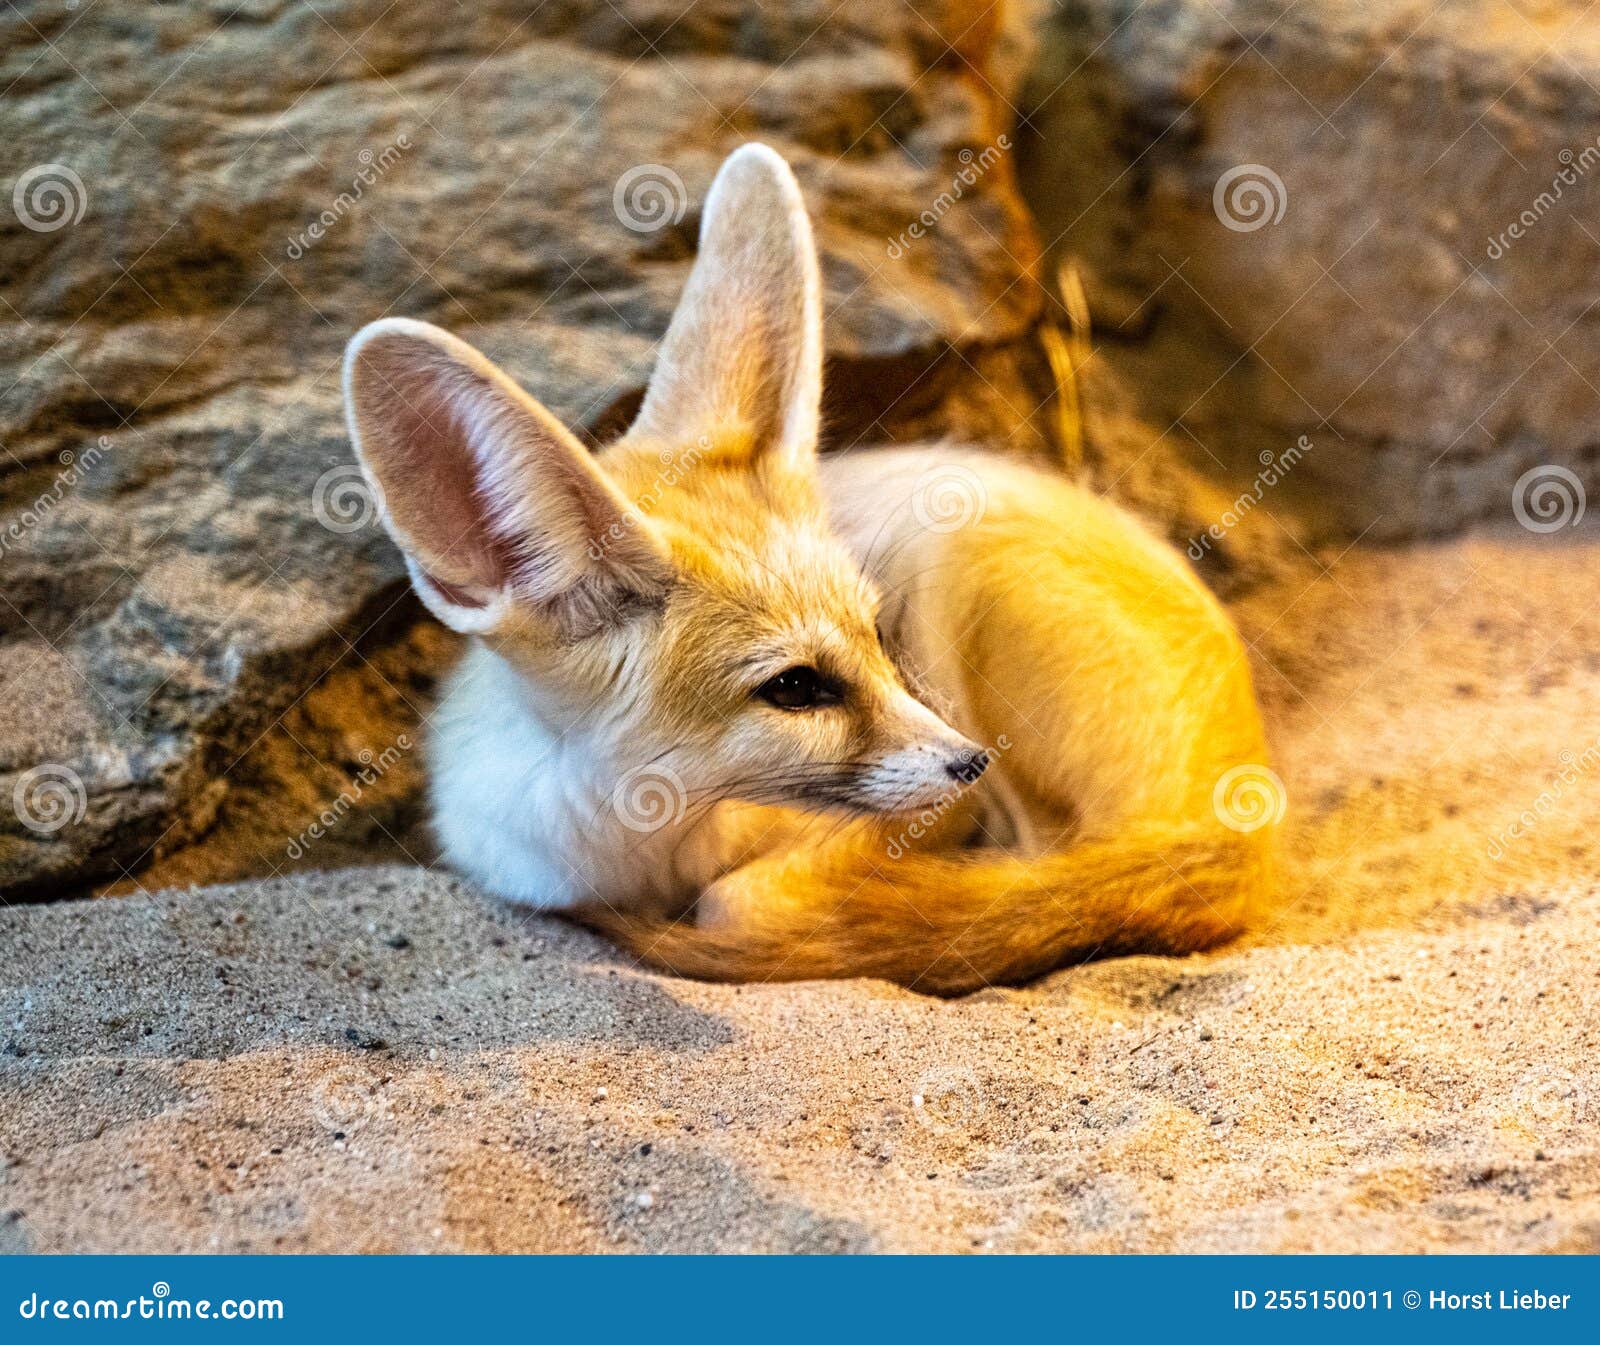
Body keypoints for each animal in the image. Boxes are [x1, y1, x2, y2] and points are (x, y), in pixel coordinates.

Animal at [341, 143, 1276, 995]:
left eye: (876, 635)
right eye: (794, 687)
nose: (970, 761)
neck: (642, 846)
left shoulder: (933, 809)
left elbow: (742, 898)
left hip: (953, 562)